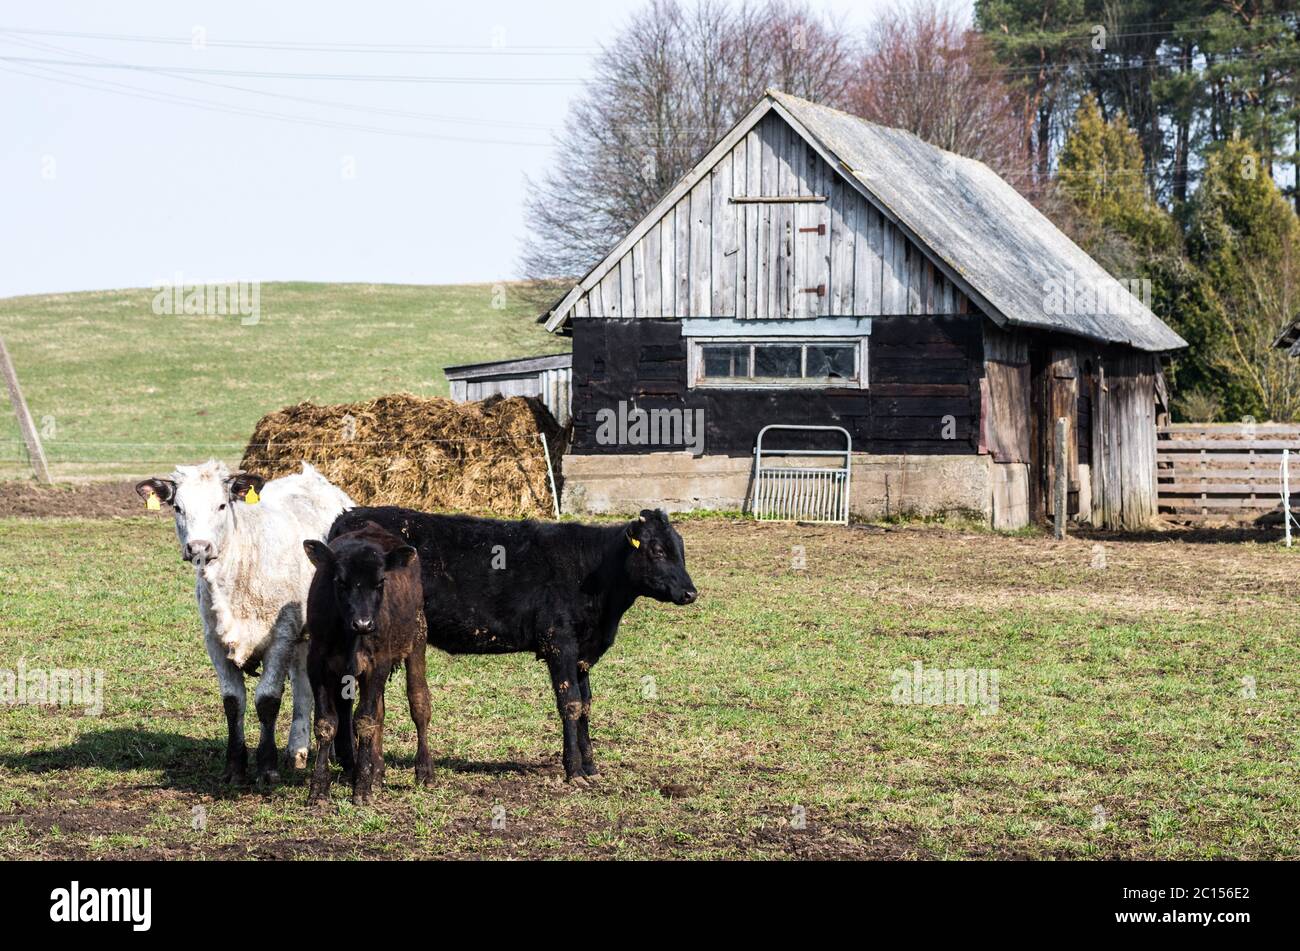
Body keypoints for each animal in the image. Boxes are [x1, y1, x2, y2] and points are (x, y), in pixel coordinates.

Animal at [135, 461, 354, 784]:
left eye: (221, 505)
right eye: (177, 507)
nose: (198, 548)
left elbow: (267, 700)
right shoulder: (214, 640)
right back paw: (297, 750)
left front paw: (266, 768)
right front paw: (235, 767)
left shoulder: (281, 635)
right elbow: (233, 701)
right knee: (303, 686)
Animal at [303, 523, 430, 805]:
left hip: (417, 637)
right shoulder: (317, 664)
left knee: (419, 703)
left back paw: (425, 771)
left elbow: (364, 721)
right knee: (380, 712)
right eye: (340, 582)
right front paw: (319, 788)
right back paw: (377, 772)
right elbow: (326, 723)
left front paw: (361, 789)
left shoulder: (378, 664)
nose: (363, 623)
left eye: (380, 582)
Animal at [328, 506, 697, 783]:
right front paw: (574, 770)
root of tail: (349, 517)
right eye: (657, 550)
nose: (691, 593)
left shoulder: (582, 654)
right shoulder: (559, 643)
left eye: (680, 549)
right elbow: (570, 704)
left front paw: (591, 766)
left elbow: (587, 705)